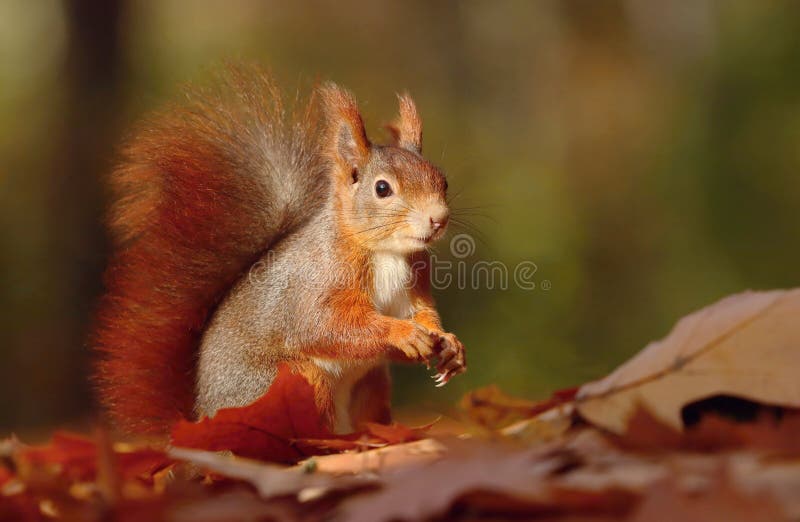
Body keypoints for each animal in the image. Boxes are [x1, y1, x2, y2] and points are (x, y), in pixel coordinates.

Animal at [92, 66, 467, 435]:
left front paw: (447, 343)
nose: (438, 218)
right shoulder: (318, 283)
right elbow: (323, 327)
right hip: (291, 379)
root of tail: (197, 423)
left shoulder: (414, 285)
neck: (387, 252)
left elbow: (423, 315)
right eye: (383, 188)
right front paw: (403, 333)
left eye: (443, 180)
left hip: (370, 382)